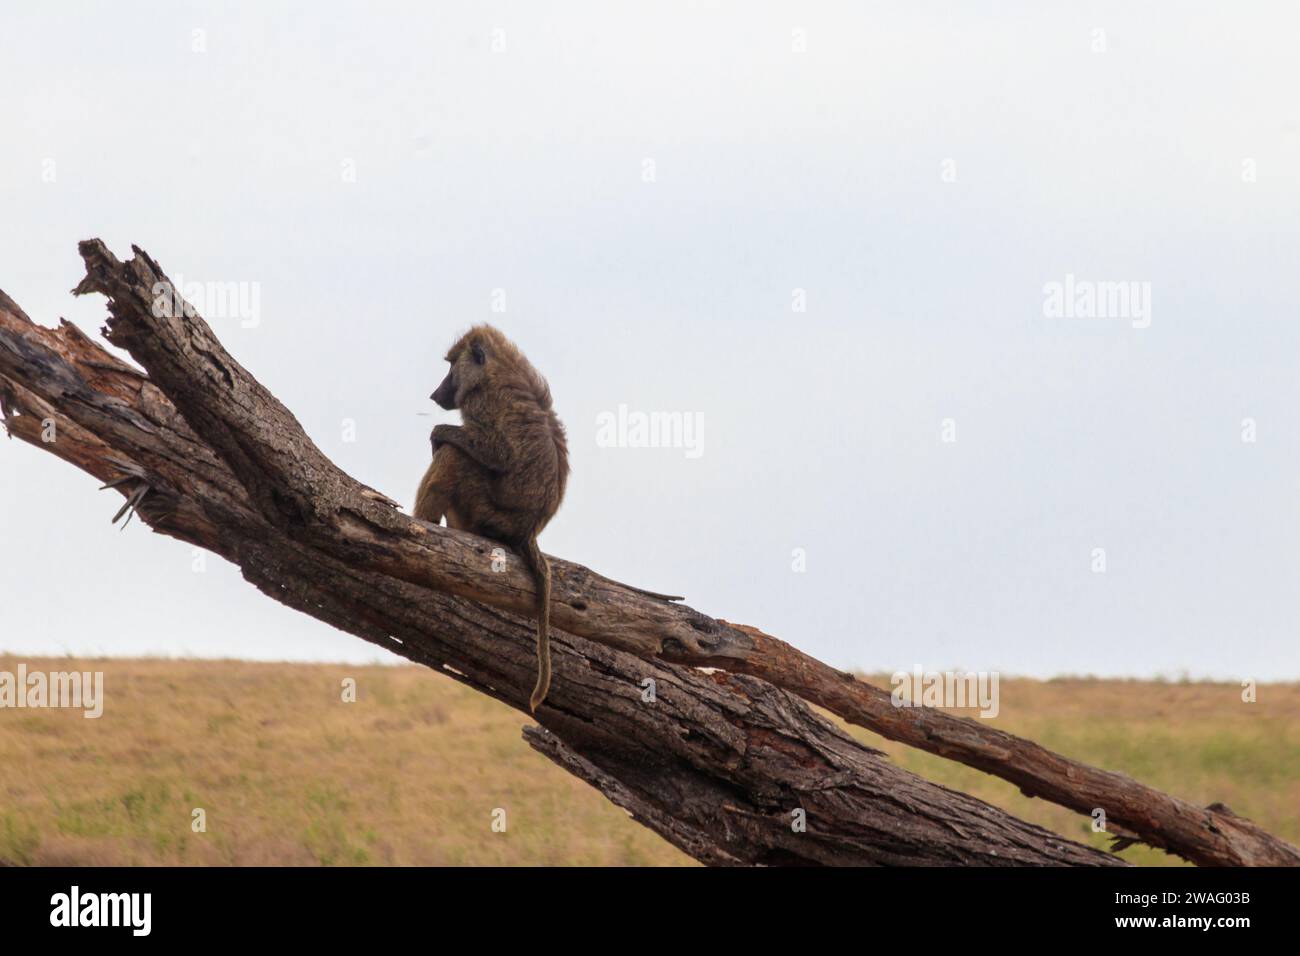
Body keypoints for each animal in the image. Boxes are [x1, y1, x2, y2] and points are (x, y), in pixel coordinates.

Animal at [414, 325, 569, 712]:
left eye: (451, 366)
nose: (435, 393)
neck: (495, 372)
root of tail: (527, 532)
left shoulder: (482, 404)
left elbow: (498, 454)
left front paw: (438, 431)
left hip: (484, 511)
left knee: (456, 456)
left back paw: (421, 523)